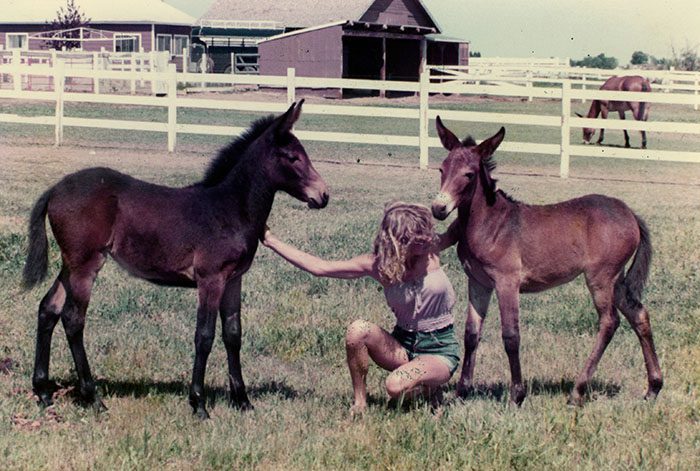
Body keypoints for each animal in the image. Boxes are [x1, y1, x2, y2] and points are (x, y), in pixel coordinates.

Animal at [22, 101, 329, 419]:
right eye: (293, 158)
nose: (323, 195)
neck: (229, 209)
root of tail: (54, 190)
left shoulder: (234, 280)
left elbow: (233, 334)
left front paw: (242, 401)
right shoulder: (211, 279)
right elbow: (204, 336)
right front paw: (199, 404)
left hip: (70, 265)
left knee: (48, 308)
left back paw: (43, 392)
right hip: (85, 266)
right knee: (73, 319)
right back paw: (93, 398)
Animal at [430, 118, 662, 406]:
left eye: (469, 174)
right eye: (442, 168)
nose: (438, 209)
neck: (491, 224)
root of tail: (631, 213)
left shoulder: (507, 281)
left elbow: (511, 336)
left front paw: (517, 395)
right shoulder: (479, 282)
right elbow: (471, 334)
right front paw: (462, 392)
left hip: (600, 278)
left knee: (610, 322)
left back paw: (577, 391)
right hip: (616, 280)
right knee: (638, 314)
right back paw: (653, 388)